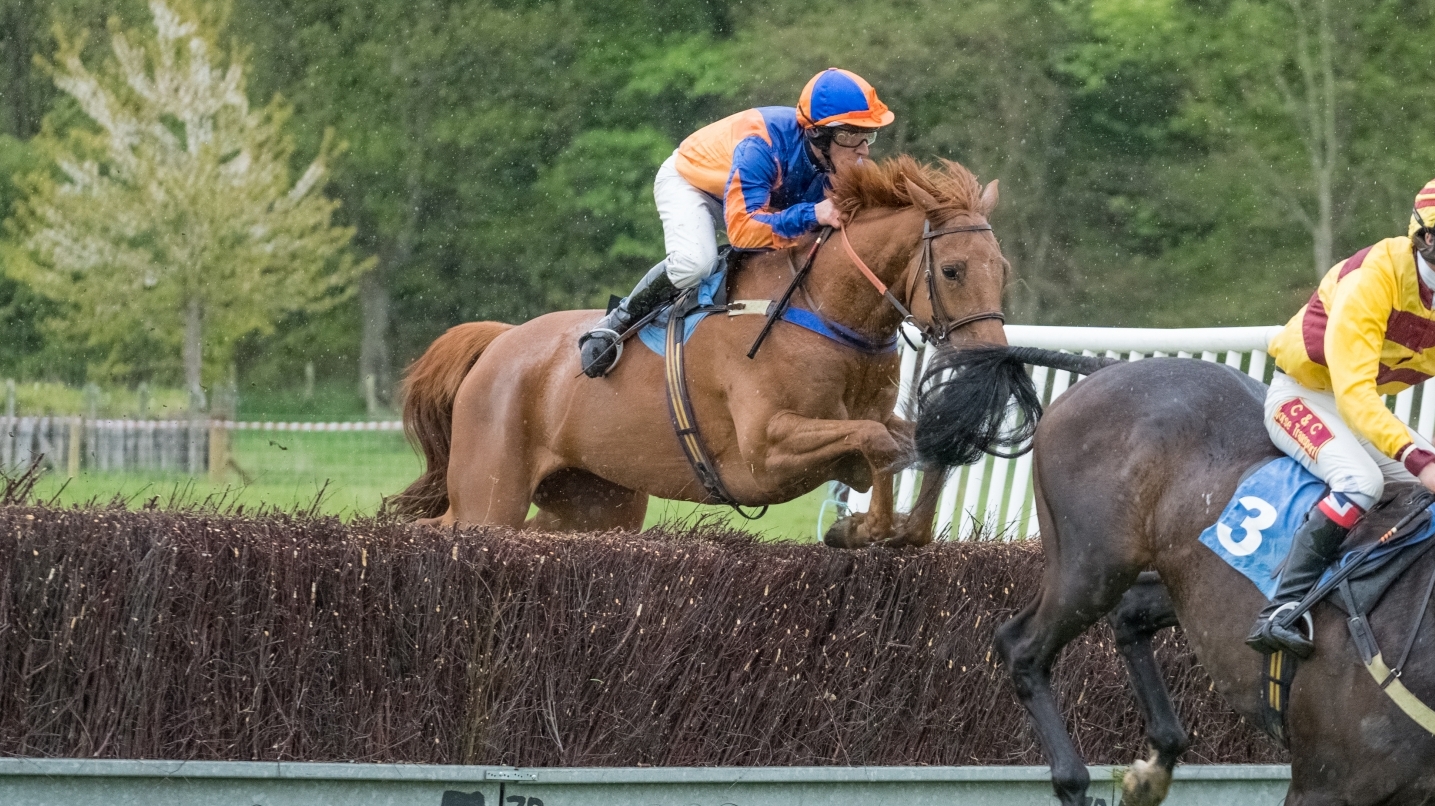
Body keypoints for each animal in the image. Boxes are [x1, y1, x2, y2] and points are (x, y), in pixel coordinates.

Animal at [391, 156, 1009, 548]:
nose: (991, 360)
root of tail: (499, 341)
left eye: (1002, 269)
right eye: (953, 270)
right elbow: (876, 441)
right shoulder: (764, 450)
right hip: (491, 495)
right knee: (442, 527)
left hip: (596, 504)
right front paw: (866, 527)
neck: (825, 311)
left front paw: (891, 528)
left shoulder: (865, 417)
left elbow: (913, 444)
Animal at [914, 346, 1435, 805]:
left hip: (1181, 581)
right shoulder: (1323, 782)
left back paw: (1156, 762)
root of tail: (1106, 369)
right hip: (1091, 565)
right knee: (1021, 645)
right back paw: (1075, 782)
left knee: (1130, 614)